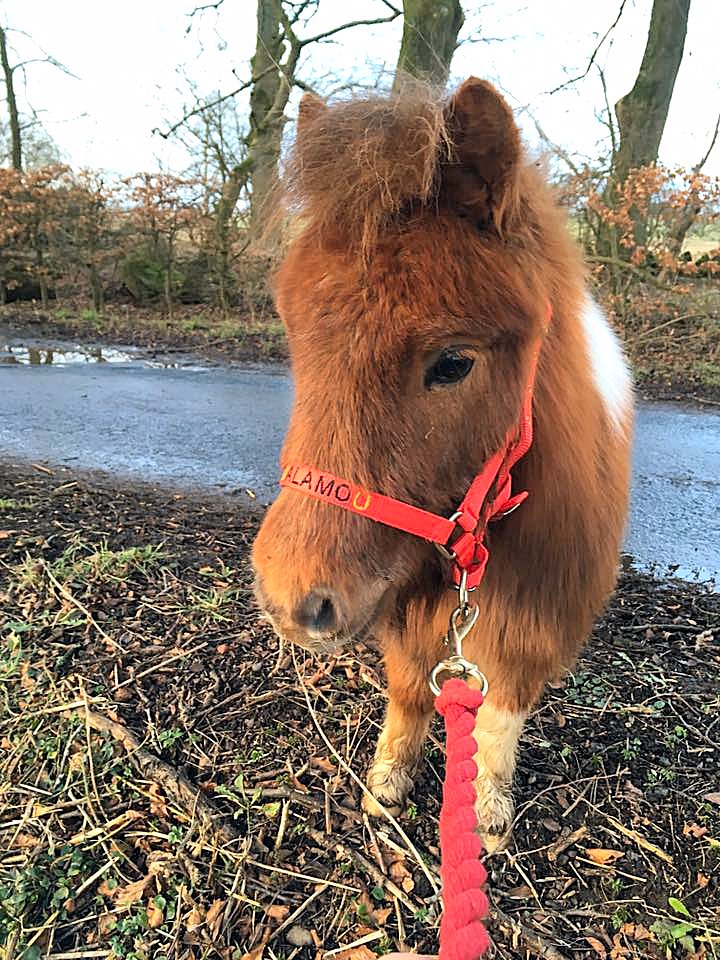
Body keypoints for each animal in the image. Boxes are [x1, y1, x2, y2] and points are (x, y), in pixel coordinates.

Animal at [252, 77, 633, 852]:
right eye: (295, 341)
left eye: (454, 363)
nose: (291, 601)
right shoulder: (406, 611)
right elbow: (408, 694)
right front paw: (386, 786)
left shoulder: (534, 625)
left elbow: (500, 716)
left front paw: (487, 810)